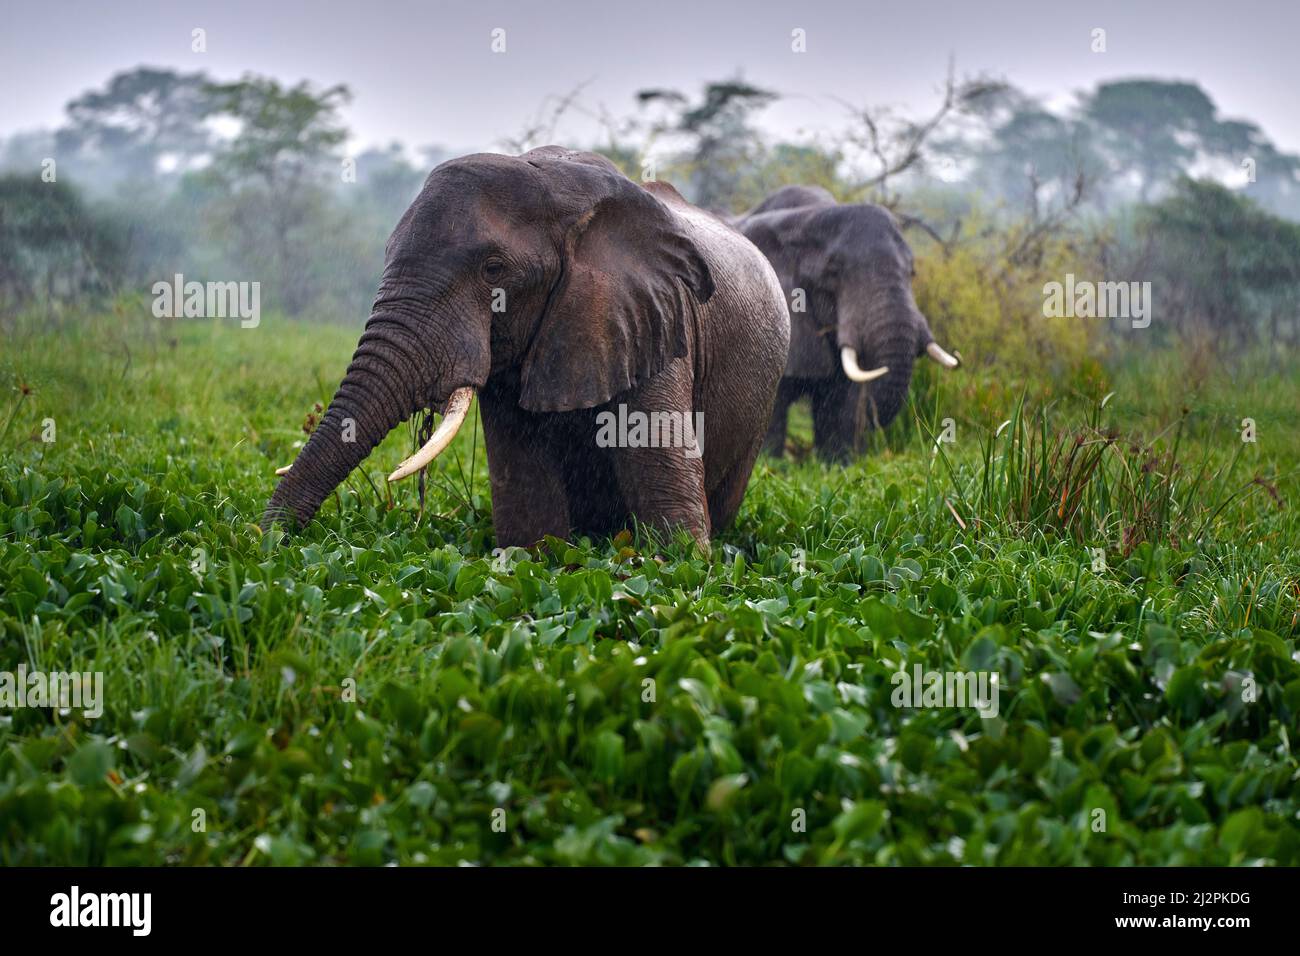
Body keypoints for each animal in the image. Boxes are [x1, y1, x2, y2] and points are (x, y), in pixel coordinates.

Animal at [263, 146, 790, 550]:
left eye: (494, 270)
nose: (264, 544)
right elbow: (528, 504)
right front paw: (535, 557)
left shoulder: (653, 320)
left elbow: (668, 508)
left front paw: (682, 560)